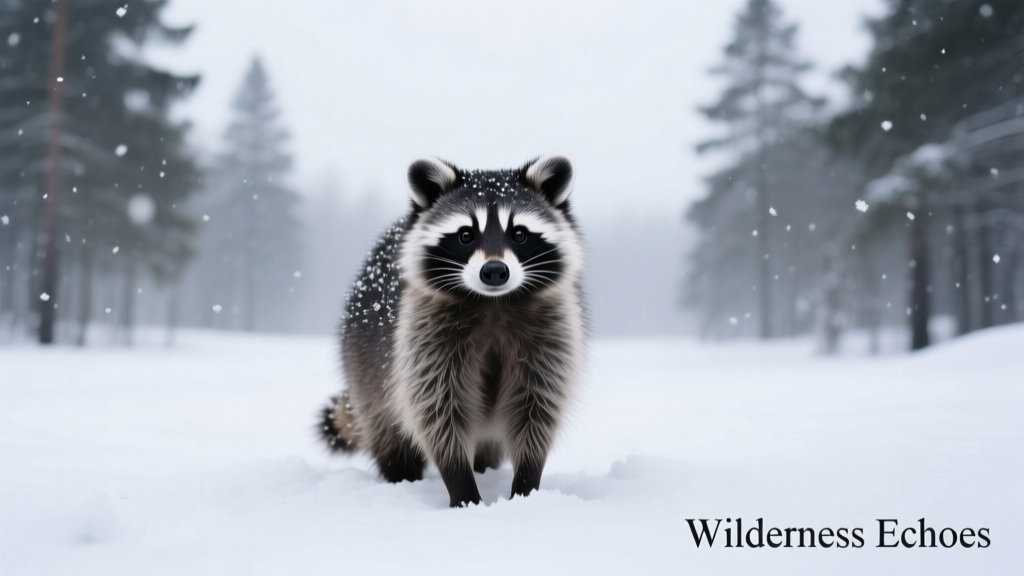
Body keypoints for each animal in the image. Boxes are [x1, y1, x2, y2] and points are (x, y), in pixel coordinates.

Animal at [319, 155, 585, 508]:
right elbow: (438, 412)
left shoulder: (552, 333)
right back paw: (401, 476)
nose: (495, 271)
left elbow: (536, 409)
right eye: (465, 235)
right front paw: (463, 490)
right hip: (366, 371)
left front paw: (525, 487)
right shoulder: (422, 338)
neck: (493, 303)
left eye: (519, 234)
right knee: (387, 430)